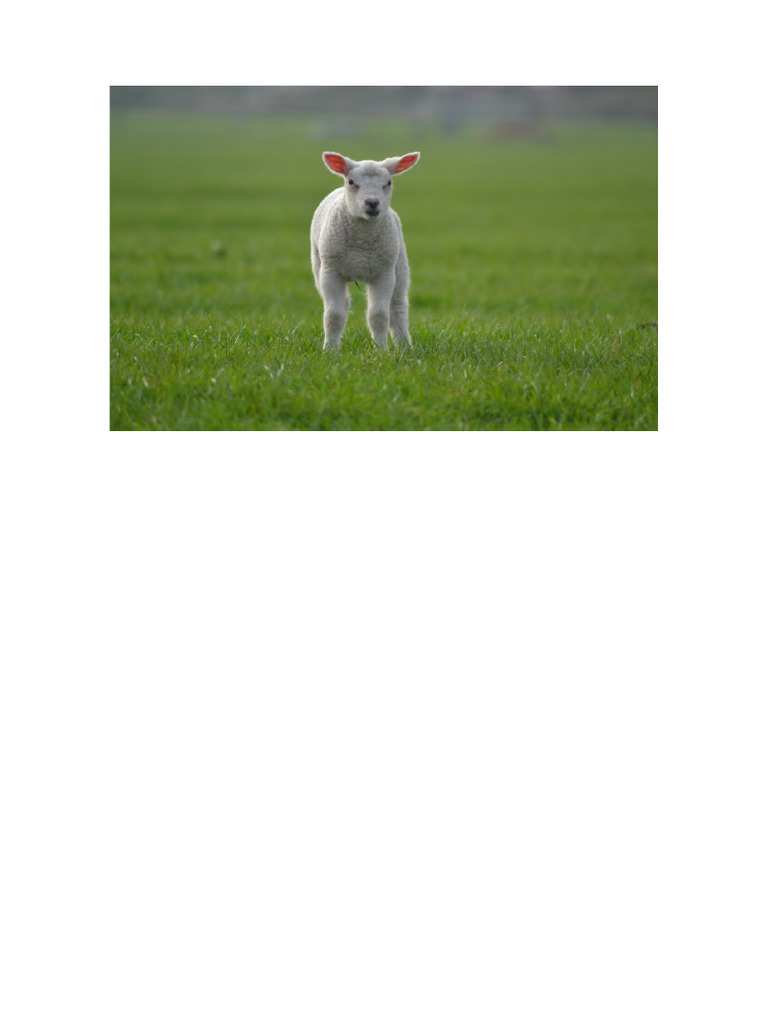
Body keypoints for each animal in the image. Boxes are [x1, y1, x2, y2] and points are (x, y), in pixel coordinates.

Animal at [310, 151, 420, 351]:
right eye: (351, 182)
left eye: (388, 182)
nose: (372, 202)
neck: (361, 247)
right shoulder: (330, 271)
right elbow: (334, 315)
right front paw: (330, 350)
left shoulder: (384, 273)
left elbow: (379, 316)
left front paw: (381, 351)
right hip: (318, 265)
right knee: (344, 304)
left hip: (399, 265)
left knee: (397, 306)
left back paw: (404, 346)